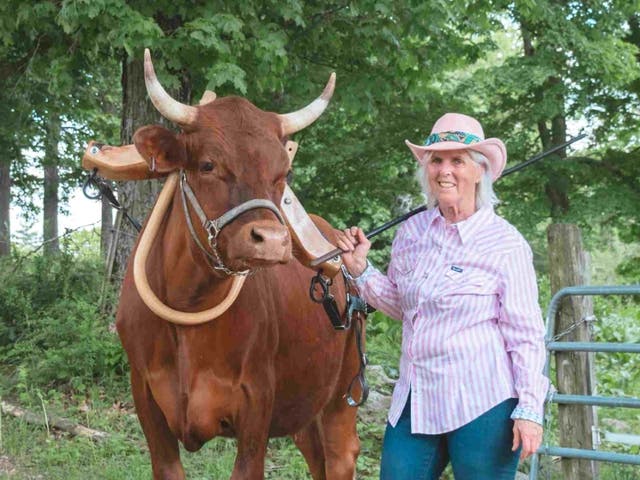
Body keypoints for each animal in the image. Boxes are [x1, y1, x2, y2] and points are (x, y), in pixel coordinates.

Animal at [113, 50, 362, 479]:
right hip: (304, 407)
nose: (273, 240)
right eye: (208, 165)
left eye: (284, 173)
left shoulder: (256, 403)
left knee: (341, 455)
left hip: (341, 396)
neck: (188, 304)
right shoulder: (145, 399)